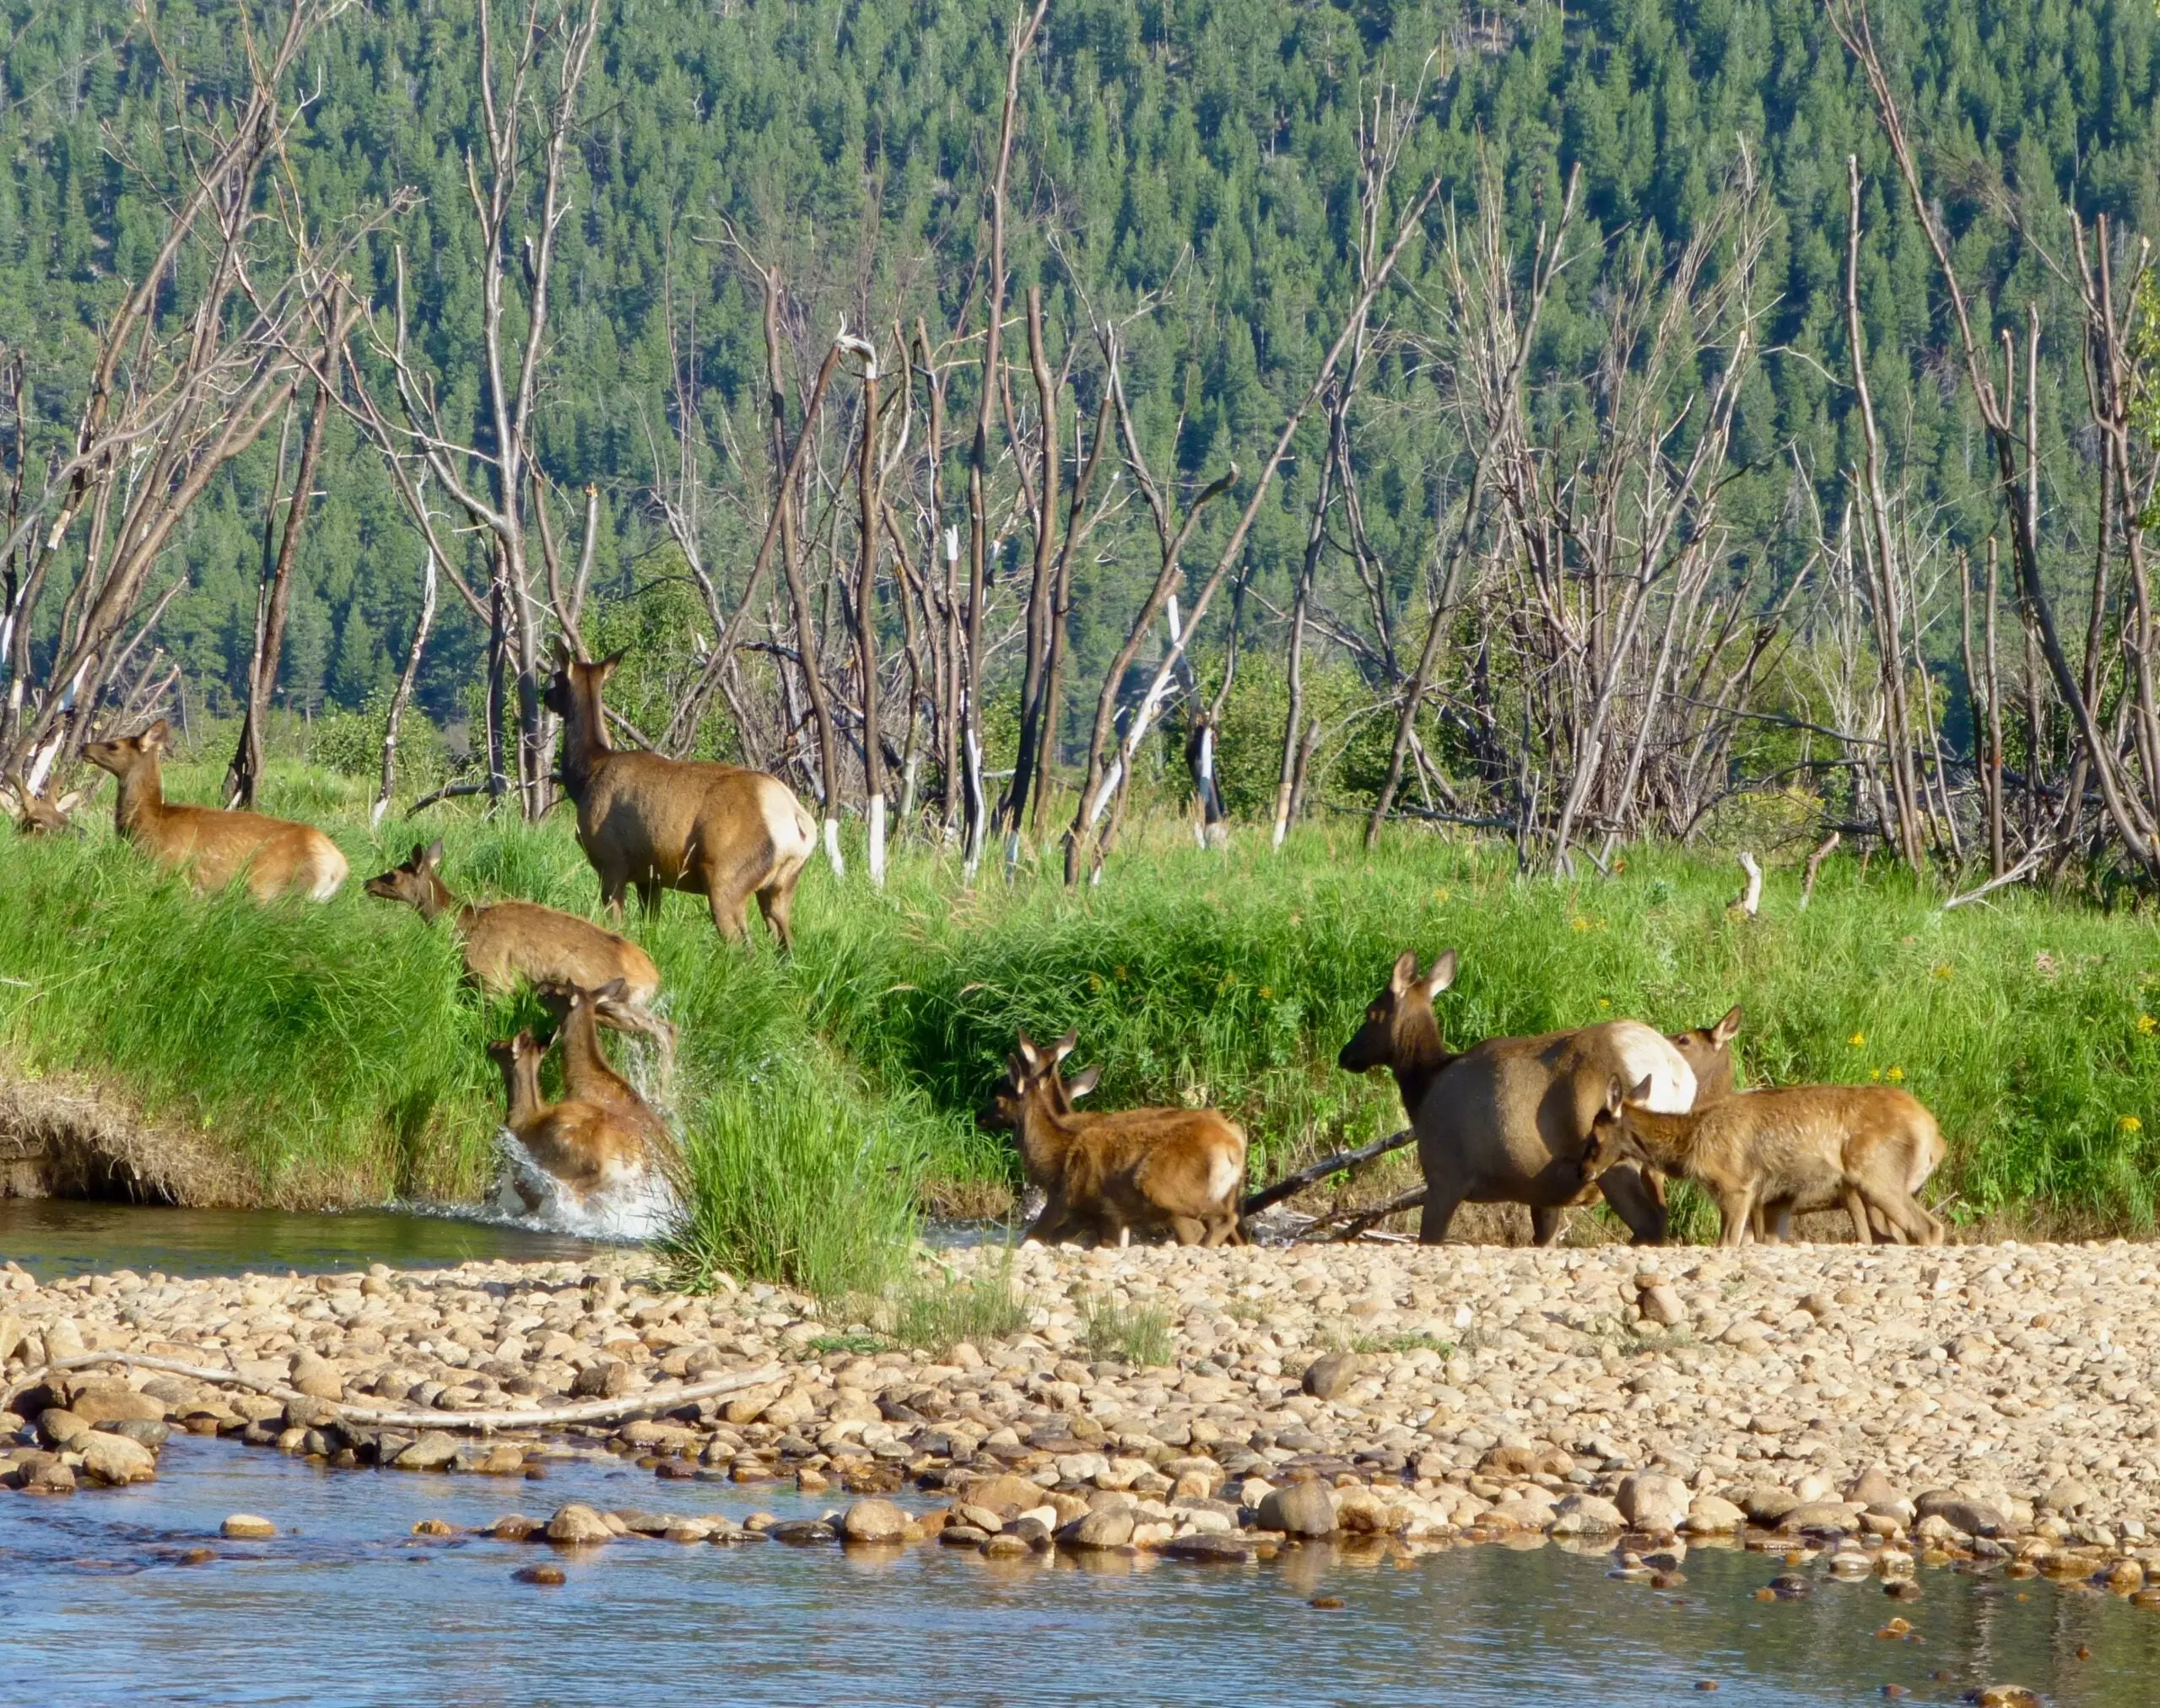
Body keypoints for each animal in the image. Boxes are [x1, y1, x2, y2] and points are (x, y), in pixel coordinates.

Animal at [79, 721, 343, 906]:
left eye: (114, 745)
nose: (84, 746)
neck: (151, 821)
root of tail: (339, 867)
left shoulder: (173, 871)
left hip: (271, 887)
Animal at [540, 647, 816, 954]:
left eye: (557, 677)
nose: (545, 695)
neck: (587, 775)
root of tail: (799, 823)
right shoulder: (650, 876)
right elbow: (649, 925)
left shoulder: (611, 863)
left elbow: (615, 925)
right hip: (781, 886)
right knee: (786, 945)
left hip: (726, 878)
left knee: (743, 947)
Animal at [985, 1027, 1252, 1252]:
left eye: (999, 1096)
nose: (980, 1117)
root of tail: (1233, 1144)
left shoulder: (1077, 1207)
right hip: (1227, 1196)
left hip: (1165, 1192)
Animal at [1580, 1075, 1952, 1252]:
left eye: (1594, 1137)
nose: (1584, 1171)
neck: (1688, 1147)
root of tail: (1934, 1136)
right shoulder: (1776, 1200)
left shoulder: (1736, 1187)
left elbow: (1727, 1243)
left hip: (1875, 1174)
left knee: (1928, 1228)